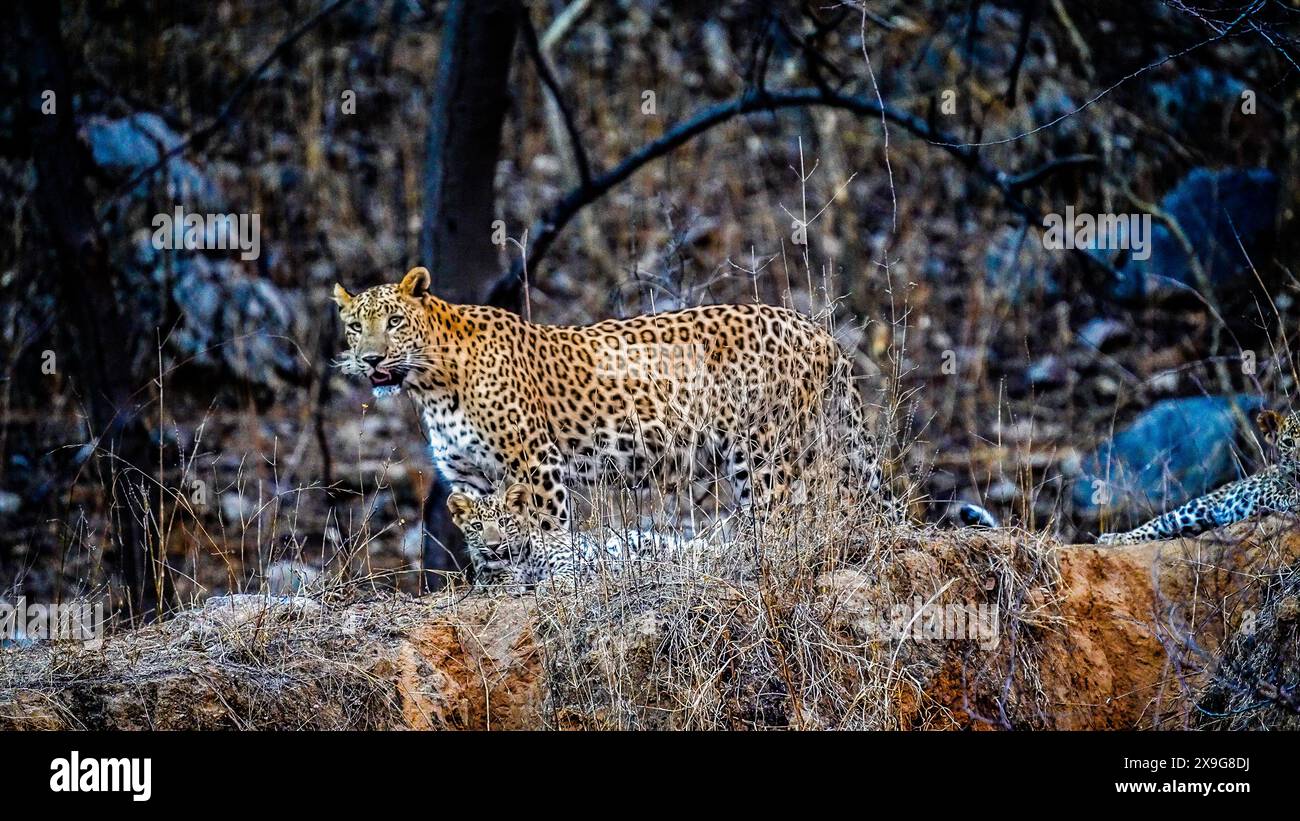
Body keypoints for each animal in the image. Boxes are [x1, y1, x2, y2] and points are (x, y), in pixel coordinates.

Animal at [334, 266, 890, 534]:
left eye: (395, 322)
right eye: (355, 326)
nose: (369, 358)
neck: (430, 387)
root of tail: (816, 329)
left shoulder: (536, 463)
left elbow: (547, 529)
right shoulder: (468, 476)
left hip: (765, 452)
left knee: (788, 519)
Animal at [1097, 409, 1300, 545]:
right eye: (1289, 442)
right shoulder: (1261, 489)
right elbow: (1282, 490)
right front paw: (1294, 497)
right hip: (1196, 508)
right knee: (1157, 523)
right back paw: (1113, 539)